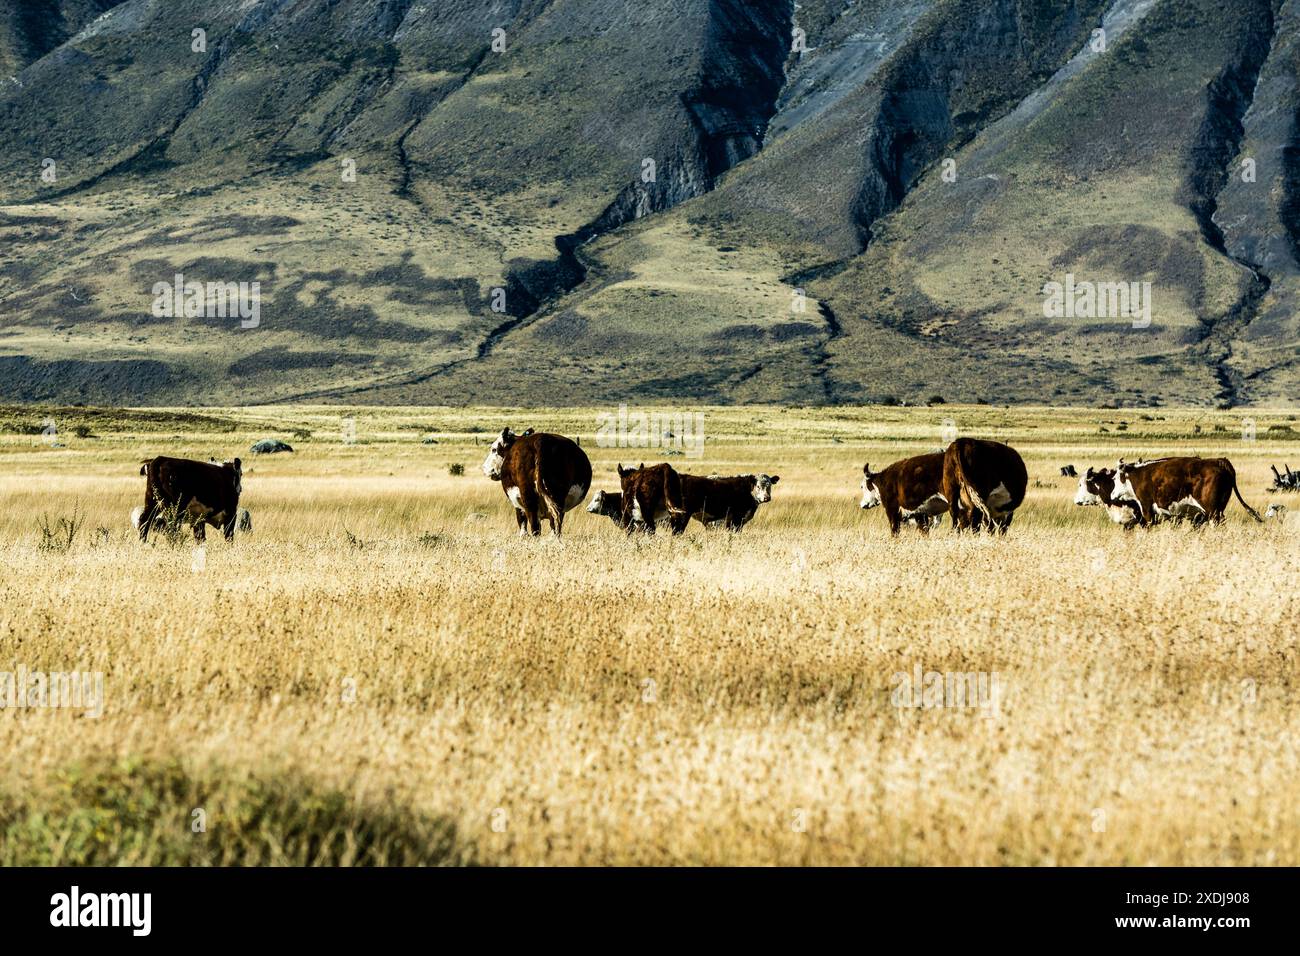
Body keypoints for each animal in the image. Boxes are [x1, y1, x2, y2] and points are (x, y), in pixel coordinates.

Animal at [1109, 457, 1262, 527]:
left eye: (1115, 478)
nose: (1111, 495)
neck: (1139, 475)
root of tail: (1219, 461)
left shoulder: (1146, 508)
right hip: (1219, 508)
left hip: (1212, 511)